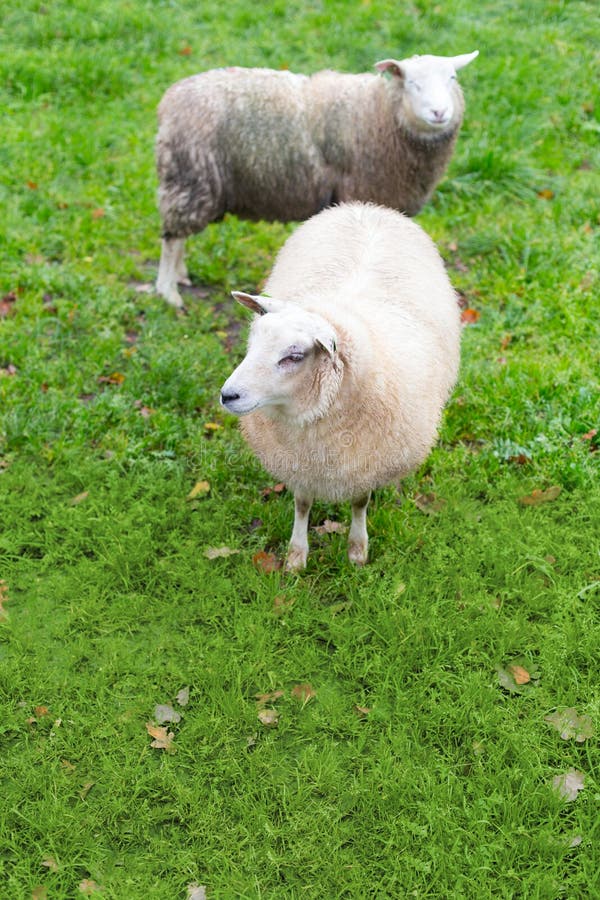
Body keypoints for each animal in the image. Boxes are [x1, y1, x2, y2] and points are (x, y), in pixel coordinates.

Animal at [156, 51, 478, 308]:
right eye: (412, 82)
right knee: (172, 238)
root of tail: (170, 100)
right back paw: (169, 292)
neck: (382, 113)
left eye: (451, 77)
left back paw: (181, 276)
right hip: (191, 176)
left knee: (179, 235)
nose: (439, 112)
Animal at [219, 202, 461, 569]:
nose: (227, 395)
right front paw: (296, 557)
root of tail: (366, 207)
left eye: (294, 355)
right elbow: (302, 504)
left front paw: (357, 551)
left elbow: (360, 502)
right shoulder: (299, 462)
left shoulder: (368, 461)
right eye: (253, 340)